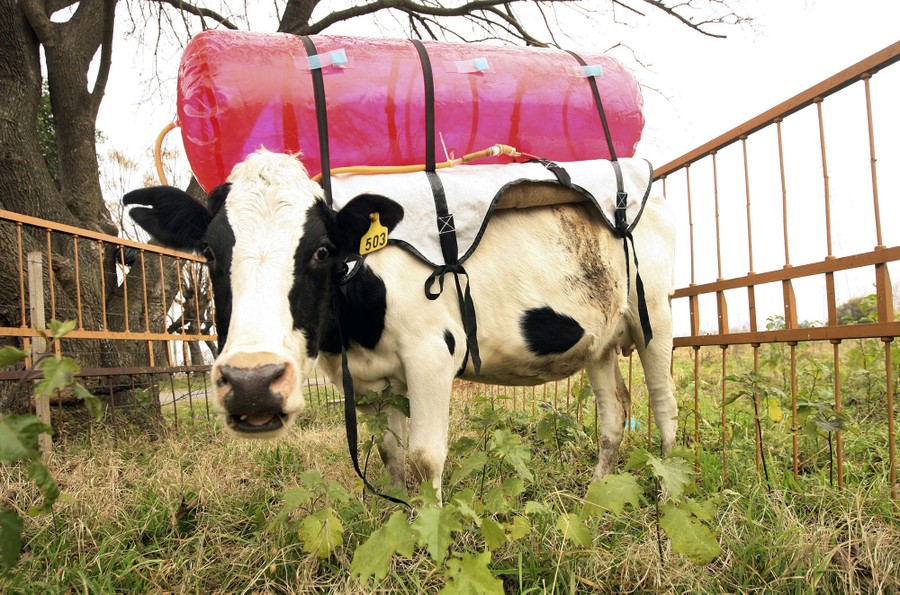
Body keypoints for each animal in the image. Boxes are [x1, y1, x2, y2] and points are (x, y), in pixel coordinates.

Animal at [124, 149, 677, 498]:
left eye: (322, 250)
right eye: (208, 251)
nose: (252, 384)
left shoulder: (431, 354)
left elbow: (425, 457)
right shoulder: (371, 380)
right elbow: (391, 456)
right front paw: (402, 528)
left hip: (655, 314)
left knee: (662, 403)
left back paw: (669, 494)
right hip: (598, 339)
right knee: (614, 413)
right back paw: (596, 496)